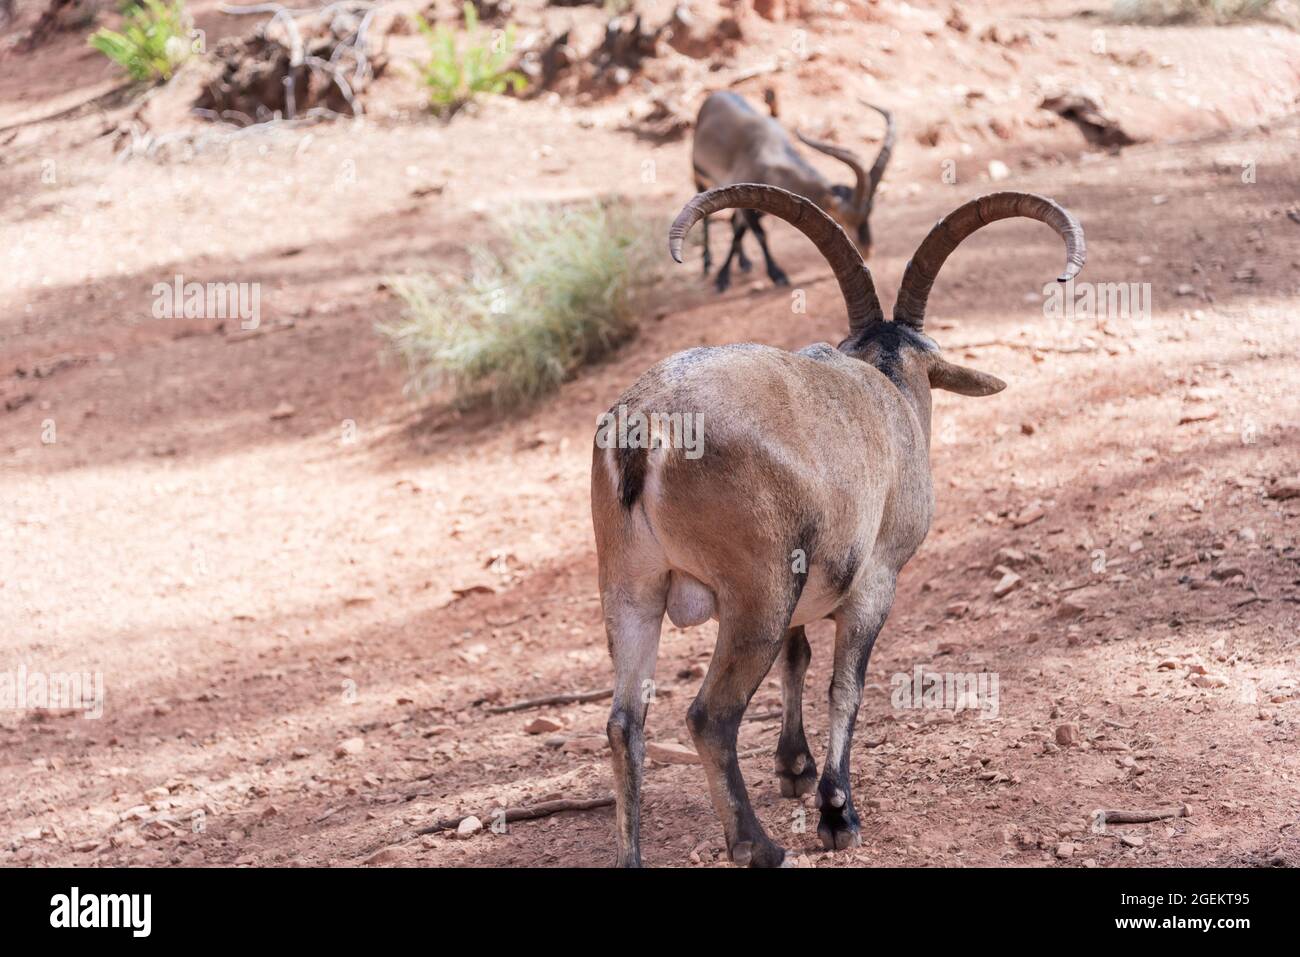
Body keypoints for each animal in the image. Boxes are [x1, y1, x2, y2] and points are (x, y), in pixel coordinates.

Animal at [591, 184, 1085, 867]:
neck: (888, 388)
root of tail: (649, 427)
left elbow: (797, 660)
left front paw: (793, 768)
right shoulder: (876, 580)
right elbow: (845, 685)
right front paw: (837, 813)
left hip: (629, 586)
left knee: (625, 723)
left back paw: (635, 855)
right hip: (757, 591)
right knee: (710, 716)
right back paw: (758, 846)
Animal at [691, 91, 895, 292]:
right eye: (843, 218)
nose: (867, 251)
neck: (770, 159)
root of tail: (716, 95)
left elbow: (740, 231)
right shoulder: (746, 204)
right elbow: (757, 234)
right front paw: (772, 275)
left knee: (733, 221)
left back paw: (744, 262)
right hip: (699, 176)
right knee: (707, 219)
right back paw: (707, 263)